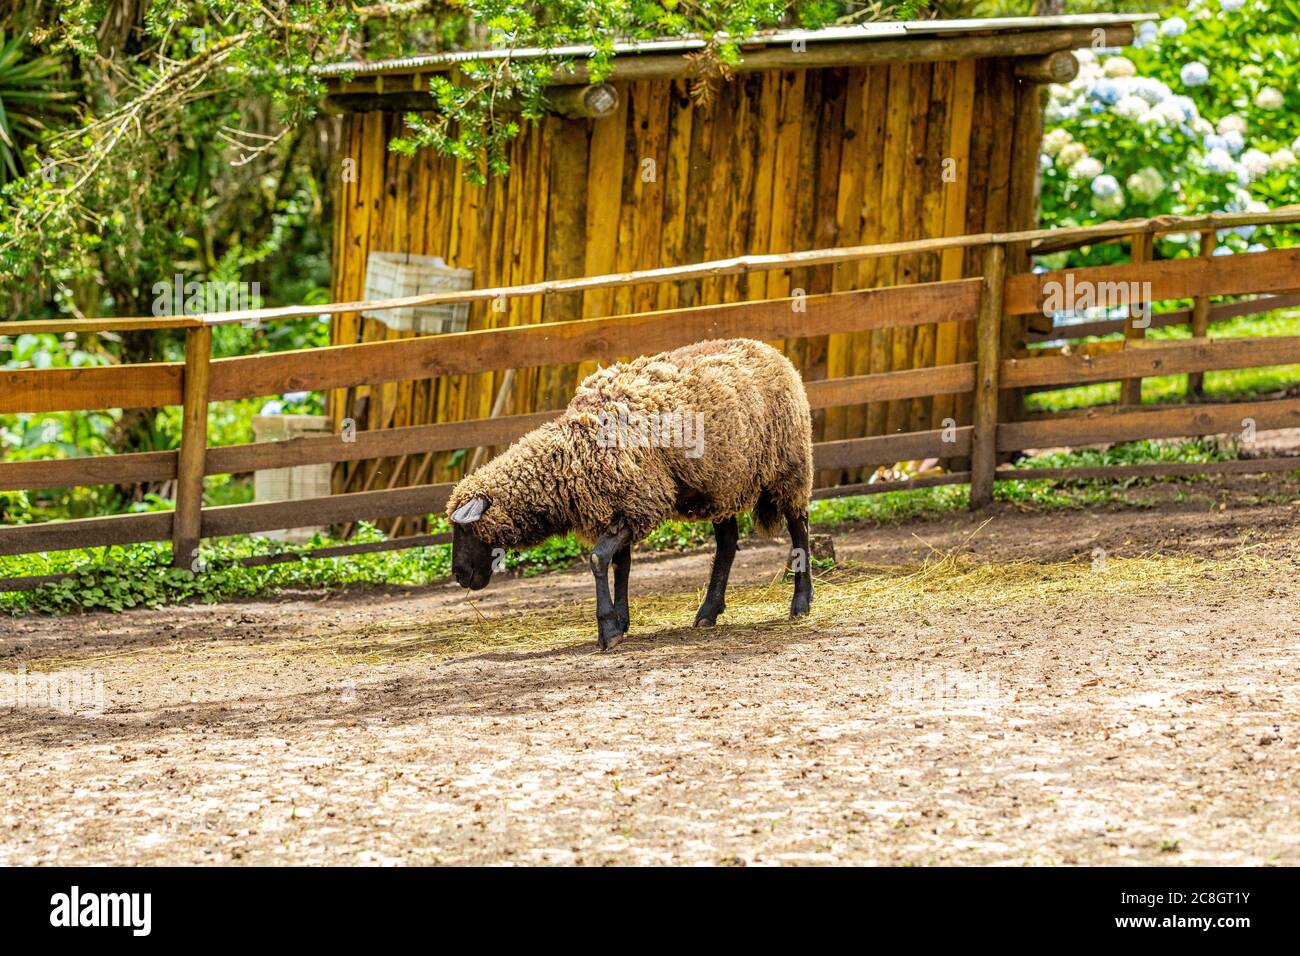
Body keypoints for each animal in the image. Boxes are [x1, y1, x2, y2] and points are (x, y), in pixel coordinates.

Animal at [446, 337, 814, 650]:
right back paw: (708, 612)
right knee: (727, 543)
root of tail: (774, 352)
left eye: (465, 528)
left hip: (789, 465)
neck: (572, 452)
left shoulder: (640, 503)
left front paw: (608, 629)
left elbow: (598, 559)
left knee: (799, 527)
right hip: (720, 482)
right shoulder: (622, 505)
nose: (459, 575)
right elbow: (620, 565)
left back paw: (801, 602)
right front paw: (621, 621)